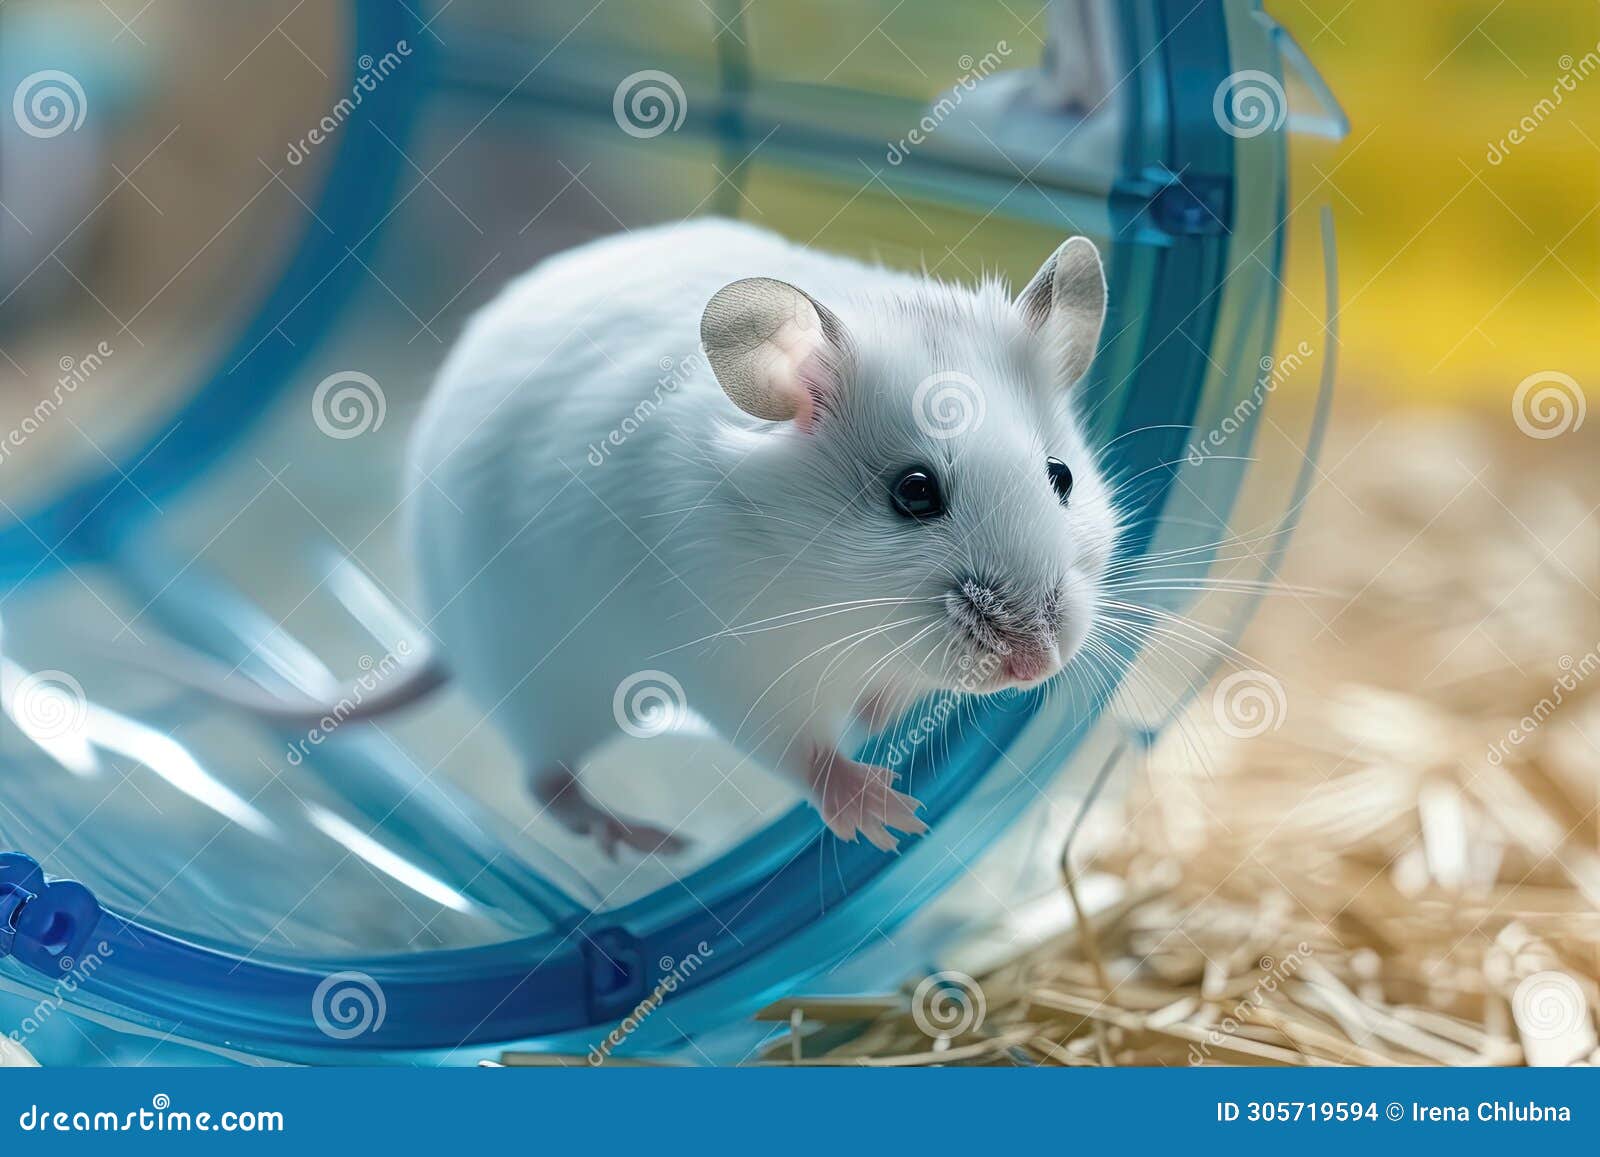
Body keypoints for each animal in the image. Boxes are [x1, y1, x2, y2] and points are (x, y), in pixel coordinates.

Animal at [404, 218, 1118, 855]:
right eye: (914, 492)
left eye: (1061, 476)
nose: (1035, 665)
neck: (838, 612)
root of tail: (439, 642)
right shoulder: (734, 669)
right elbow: (804, 752)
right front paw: (891, 816)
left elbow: (883, 699)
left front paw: (891, 726)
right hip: (535, 685)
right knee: (548, 785)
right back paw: (649, 841)